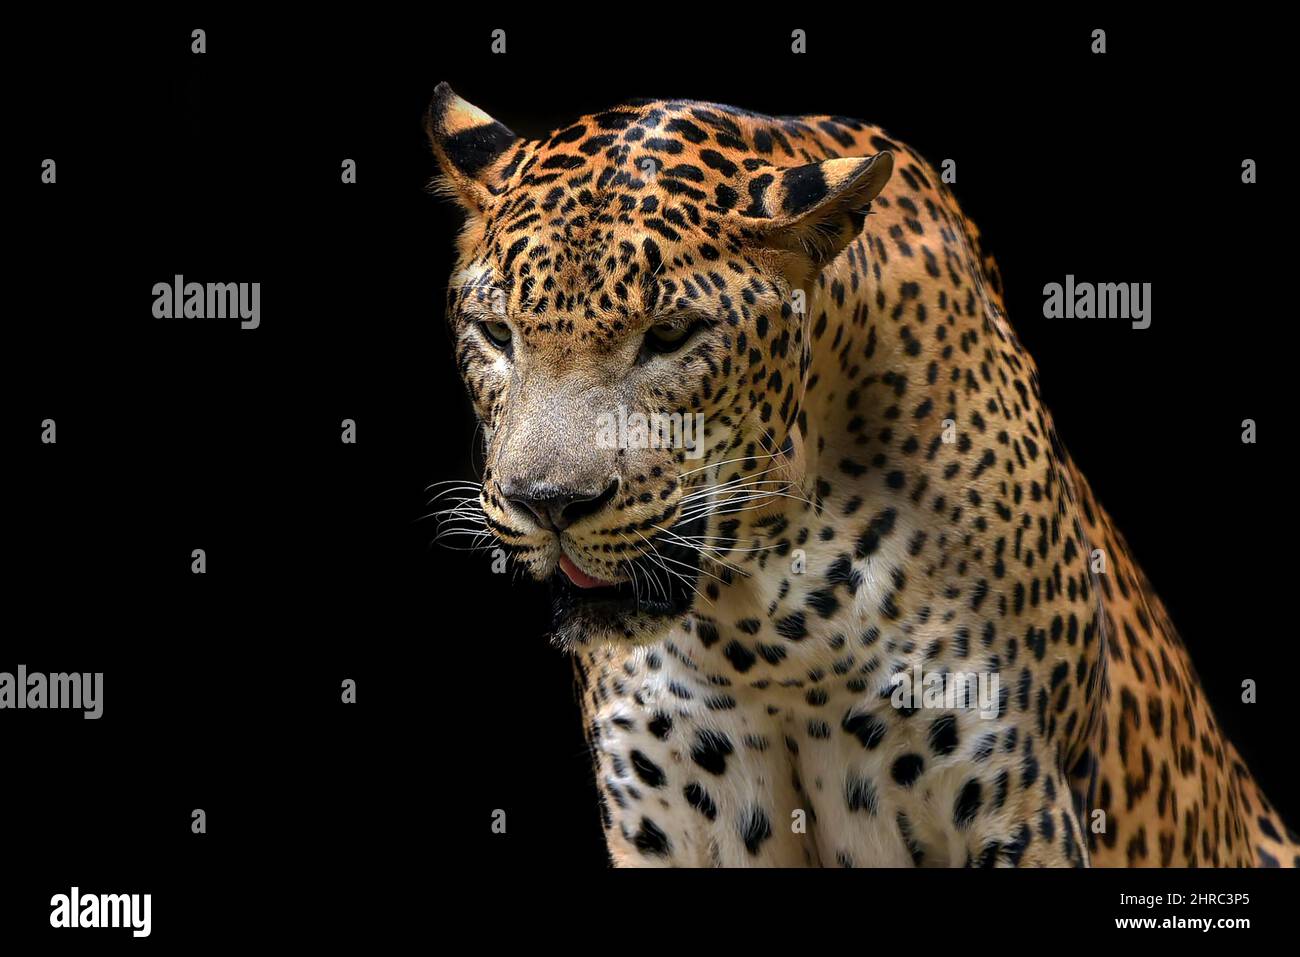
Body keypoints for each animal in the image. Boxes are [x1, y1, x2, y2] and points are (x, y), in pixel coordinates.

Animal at [425, 81, 1297, 867]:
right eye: (496, 332)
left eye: (670, 334)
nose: (548, 504)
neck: (763, 617)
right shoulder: (667, 820)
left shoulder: (1019, 800)